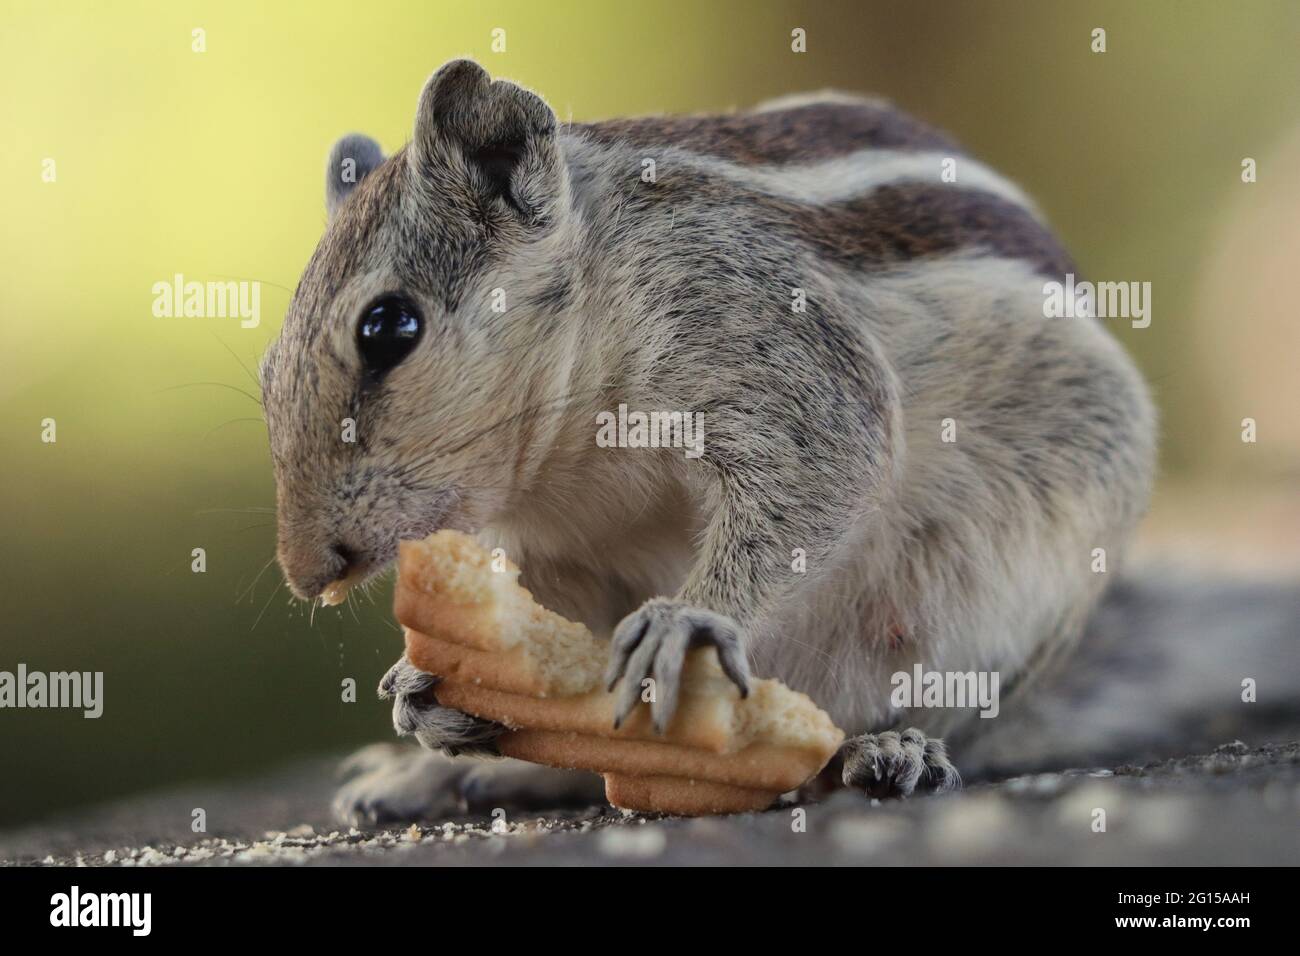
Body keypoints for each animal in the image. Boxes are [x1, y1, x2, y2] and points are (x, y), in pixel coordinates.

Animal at [260, 59, 1166, 824]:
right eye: (269, 368)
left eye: (388, 328)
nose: (308, 575)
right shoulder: (559, 553)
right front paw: (420, 690)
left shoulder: (764, 339)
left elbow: (823, 464)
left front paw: (686, 621)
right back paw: (443, 773)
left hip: (987, 618)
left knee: (916, 725)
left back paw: (892, 750)